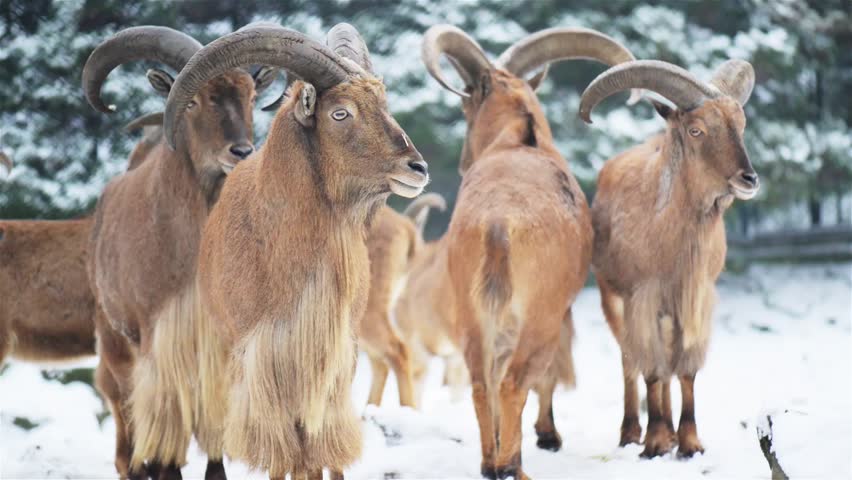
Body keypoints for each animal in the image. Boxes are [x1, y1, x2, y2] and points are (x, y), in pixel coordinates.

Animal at [82, 26, 277, 480]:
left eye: (251, 96)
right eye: (193, 100)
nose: (241, 152)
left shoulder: (219, 346)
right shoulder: (159, 344)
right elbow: (164, 432)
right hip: (116, 345)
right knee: (130, 428)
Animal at [160, 23, 428, 479]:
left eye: (383, 104)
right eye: (341, 113)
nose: (418, 168)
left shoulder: (333, 363)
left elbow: (320, 448)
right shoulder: (263, 367)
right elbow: (284, 453)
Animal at [421, 25, 638, 479]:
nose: (464, 161)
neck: (520, 141)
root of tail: (498, 221)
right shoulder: (559, 312)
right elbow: (549, 375)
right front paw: (548, 436)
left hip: (471, 311)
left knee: (482, 380)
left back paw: (490, 462)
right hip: (539, 316)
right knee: (515, 380)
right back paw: (512, 465)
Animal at [579, 59, 759, 458]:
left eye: (740, 126)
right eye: (696, 130)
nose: (748, 179)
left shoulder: (694, 299)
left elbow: (686, 369)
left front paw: (689, 441)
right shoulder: (642, 298)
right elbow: (652, 369)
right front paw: (657, 441)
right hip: (612, 297)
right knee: (630, 361)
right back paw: (633, 431)